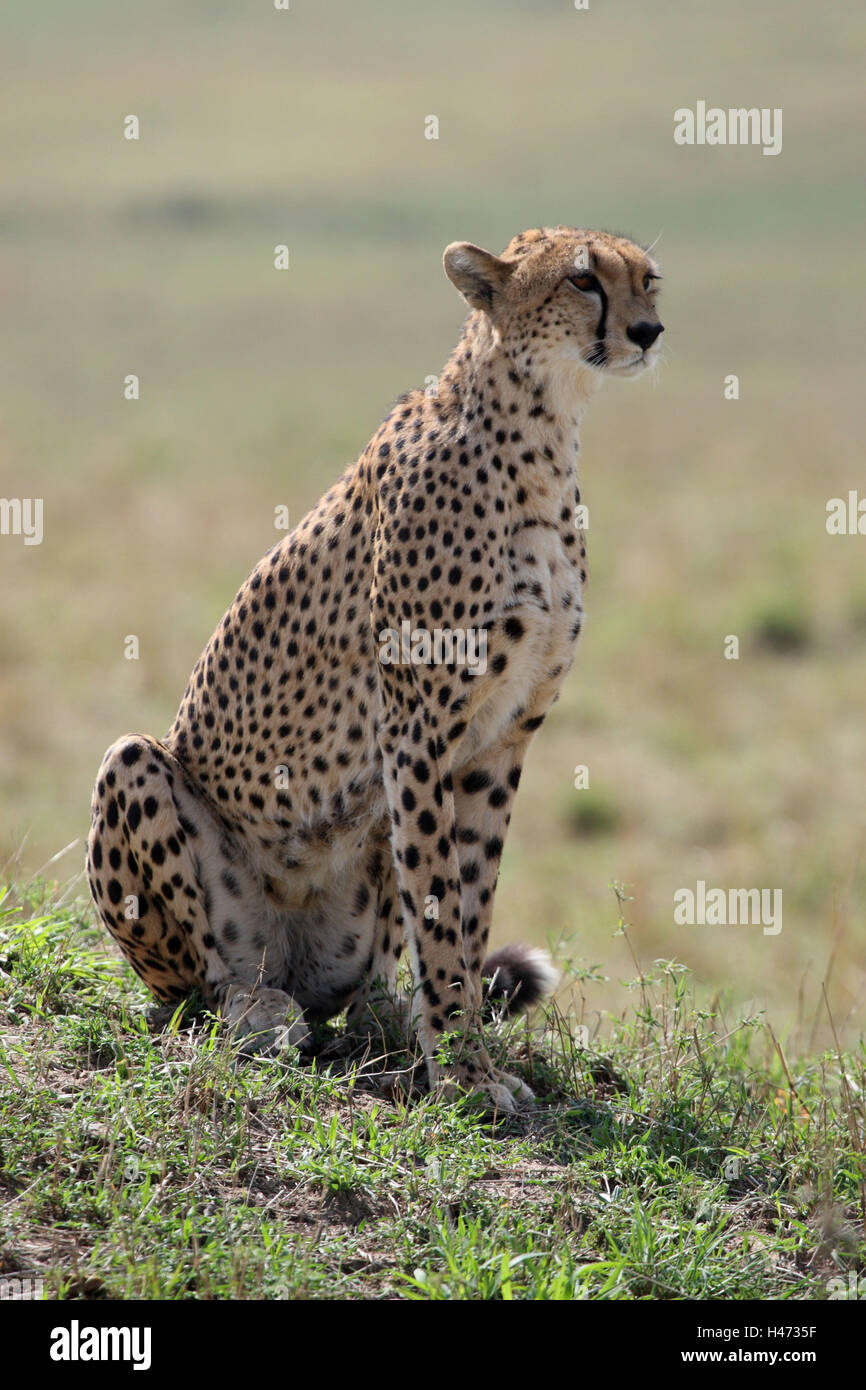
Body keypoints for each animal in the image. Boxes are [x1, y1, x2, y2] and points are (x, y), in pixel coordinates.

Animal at [86, 225, 664, 1112]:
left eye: (648, 279)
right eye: (583, 280)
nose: (648, 331)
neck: (540, 438)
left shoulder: (502, 739)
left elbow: (469, 899)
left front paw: (458, 1045)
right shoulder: (418, 727)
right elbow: (441, 901)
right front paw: (462, 1071)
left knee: (359, 980)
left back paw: (381, 1012)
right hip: (139, 775)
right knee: (193, 985)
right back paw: (257, 1007)